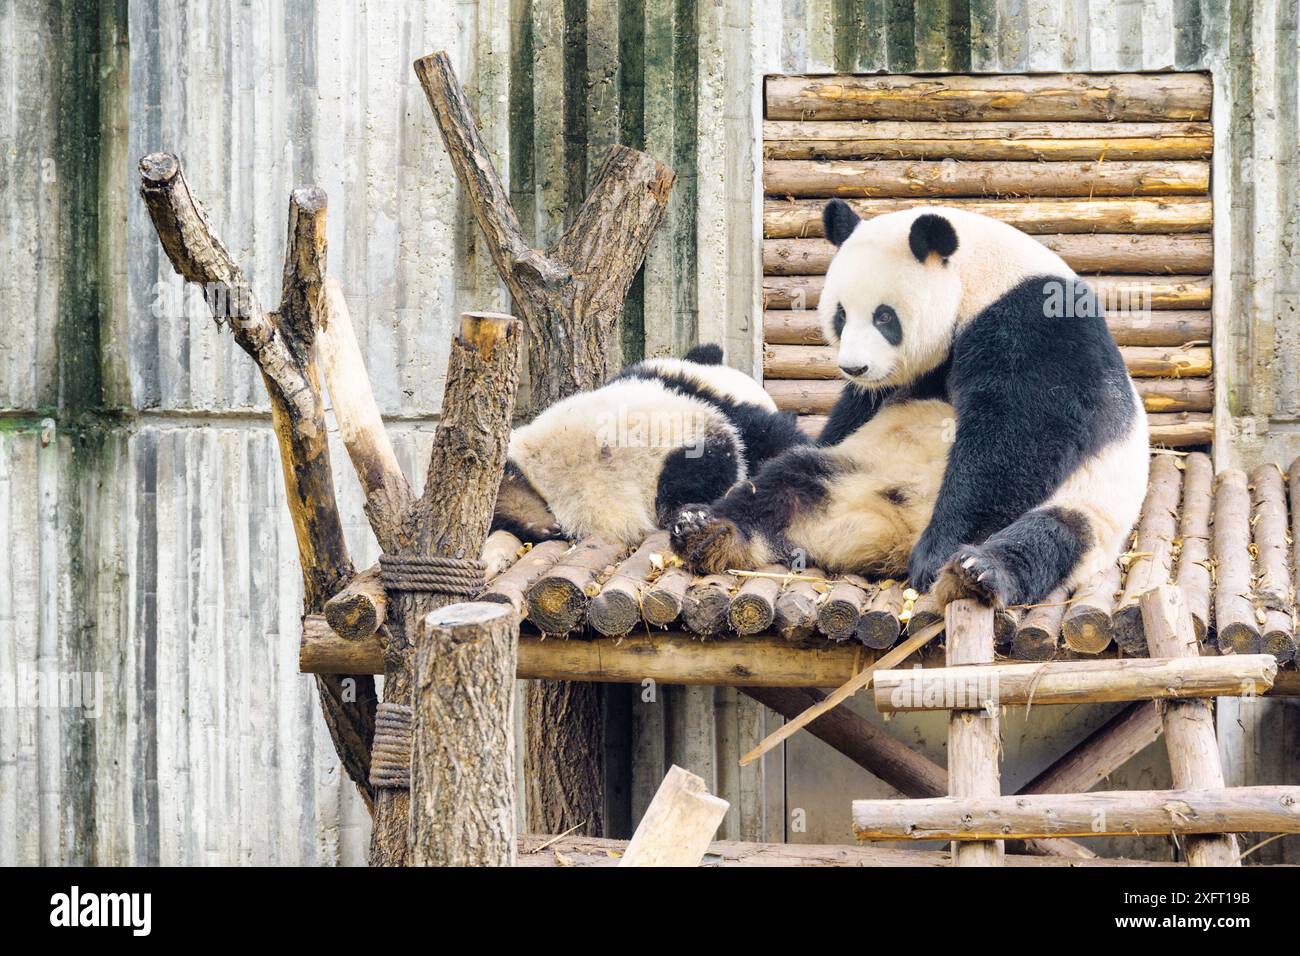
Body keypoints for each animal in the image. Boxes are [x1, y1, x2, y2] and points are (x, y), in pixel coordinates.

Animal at [491, 343, 809, 546]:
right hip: (691, 455)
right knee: (699, 478)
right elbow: (773, 441)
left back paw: (530, 519)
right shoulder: (730, 418)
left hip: (517, 452)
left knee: (506, 489)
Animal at [671, 201, 1149, 608]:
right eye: (841, 314)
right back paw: (705, 530)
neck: (980, 279)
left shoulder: (1038, 323)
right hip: (852, 467)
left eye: (885, 316)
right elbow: (858, 409)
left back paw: (974, 571)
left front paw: (939, 554)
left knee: (1050, 539)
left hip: (1091, 507)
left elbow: (1018, 437)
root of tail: (893, 535)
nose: (854, 367)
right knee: (783, 484)